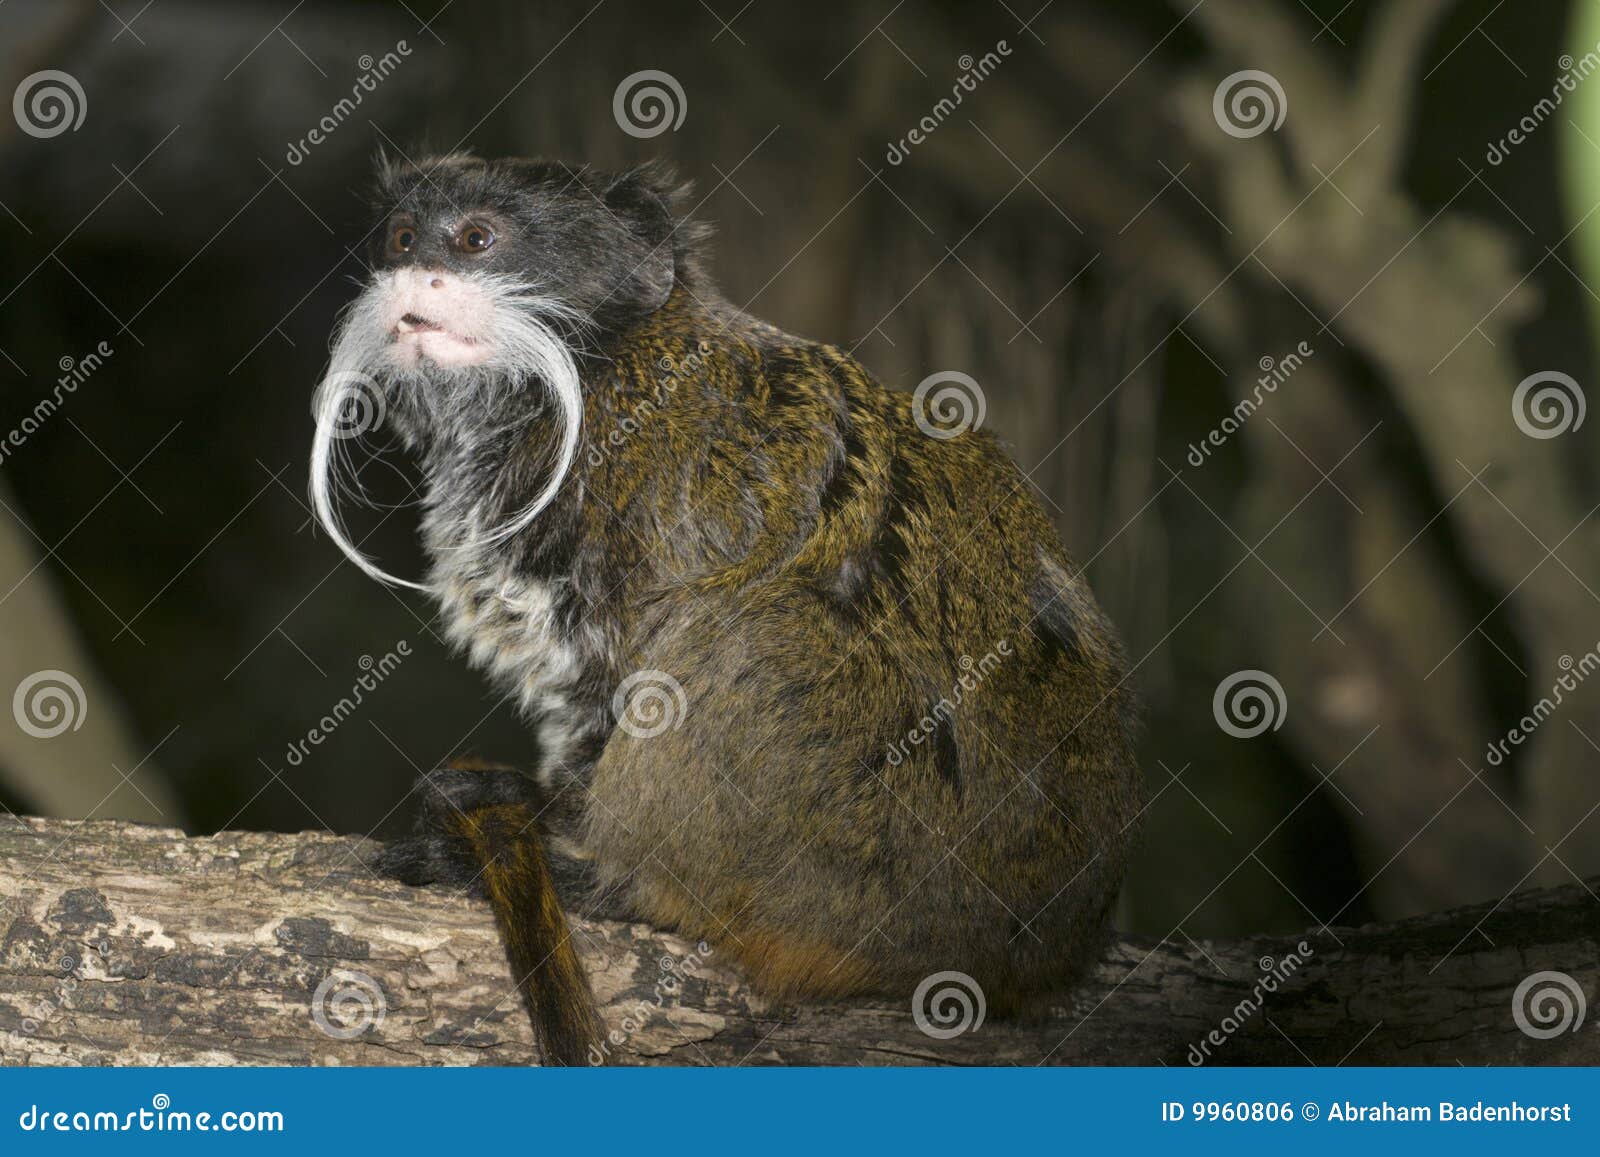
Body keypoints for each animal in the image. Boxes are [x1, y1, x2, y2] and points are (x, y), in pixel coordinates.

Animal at [311, 152, 1143, 1065]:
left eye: (474, 240)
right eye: (400, 238)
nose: (413, 274)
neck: (586, 374)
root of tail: (1039, 952)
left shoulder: (668, 481)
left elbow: (636, 672)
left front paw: (560, 824)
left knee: (749, 634)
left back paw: (621, 880)